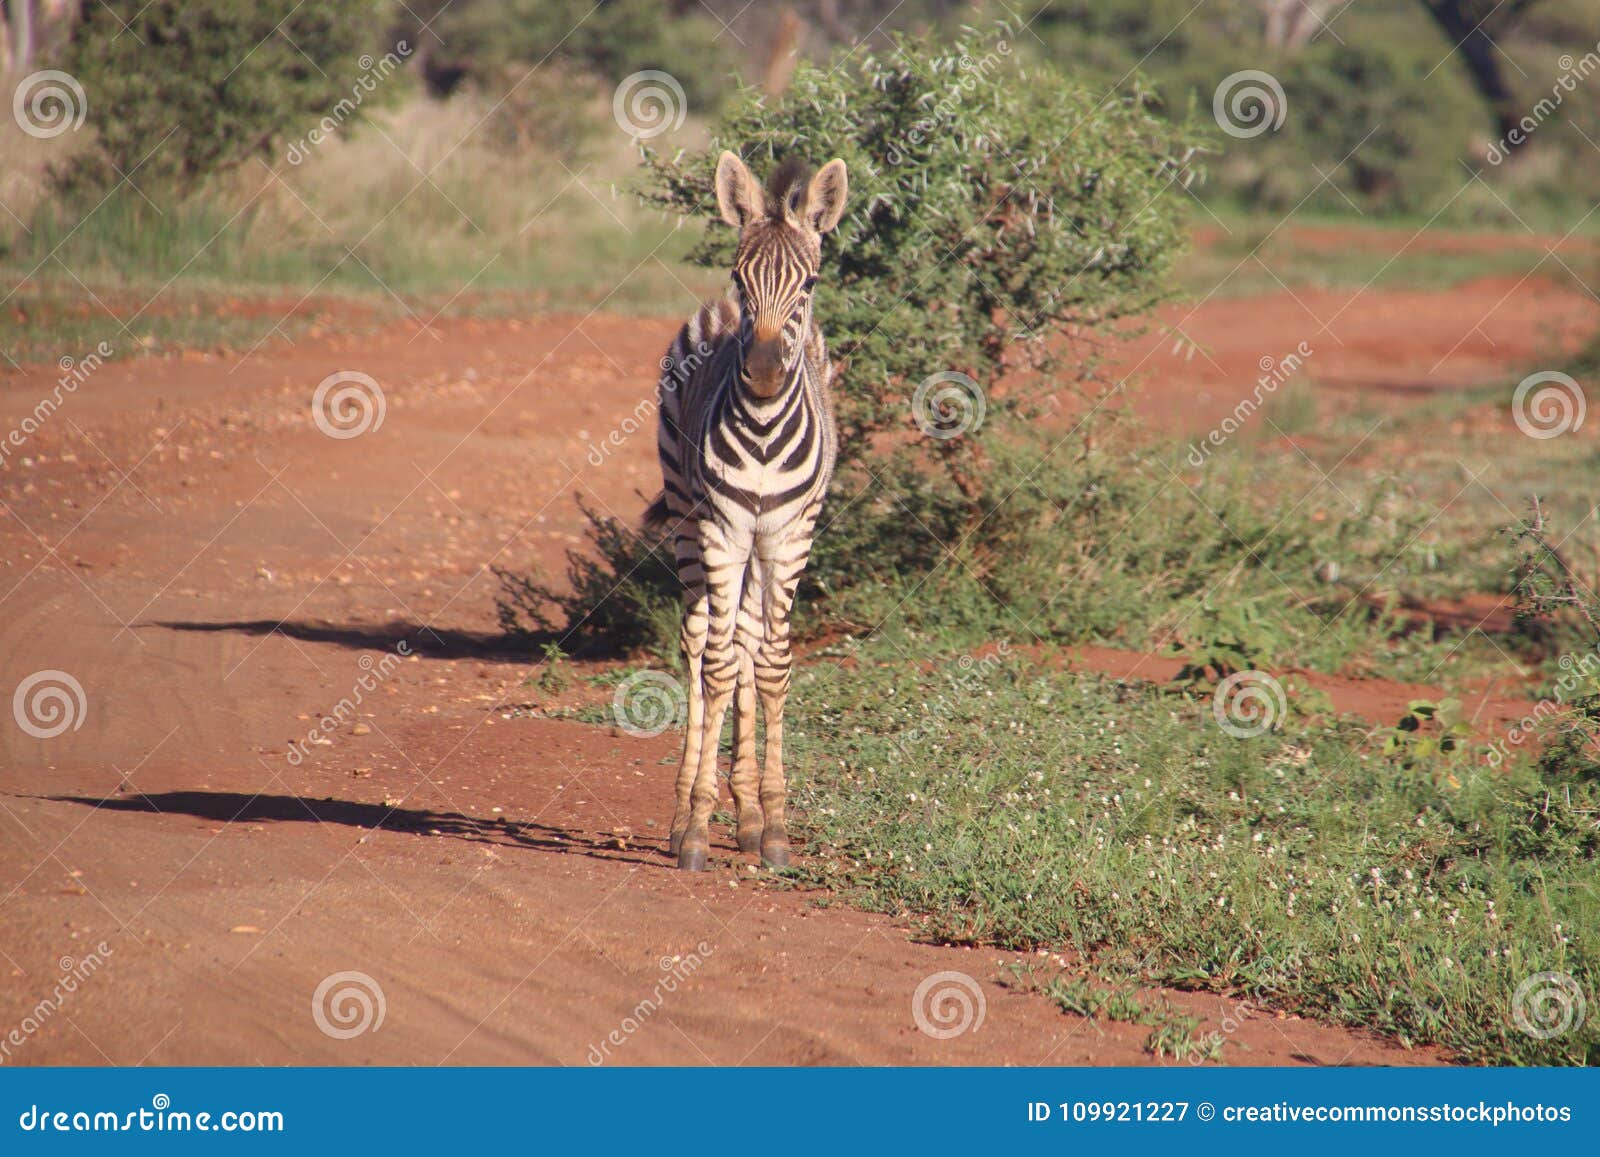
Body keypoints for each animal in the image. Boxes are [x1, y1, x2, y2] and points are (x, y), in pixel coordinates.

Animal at [648, 150, 849, 871]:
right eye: (741, 274)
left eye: (810, 281)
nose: (762, 372)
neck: (762, 428)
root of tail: (715, 315)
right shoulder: (723, 531)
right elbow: (717, 666)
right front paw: (698, 828)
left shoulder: (788, 537)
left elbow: (771, 663)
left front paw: (774, 822)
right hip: (686, 517)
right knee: (702, 642)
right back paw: (687, 811)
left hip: (766, 546)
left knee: (749, 639)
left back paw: (751, 816)